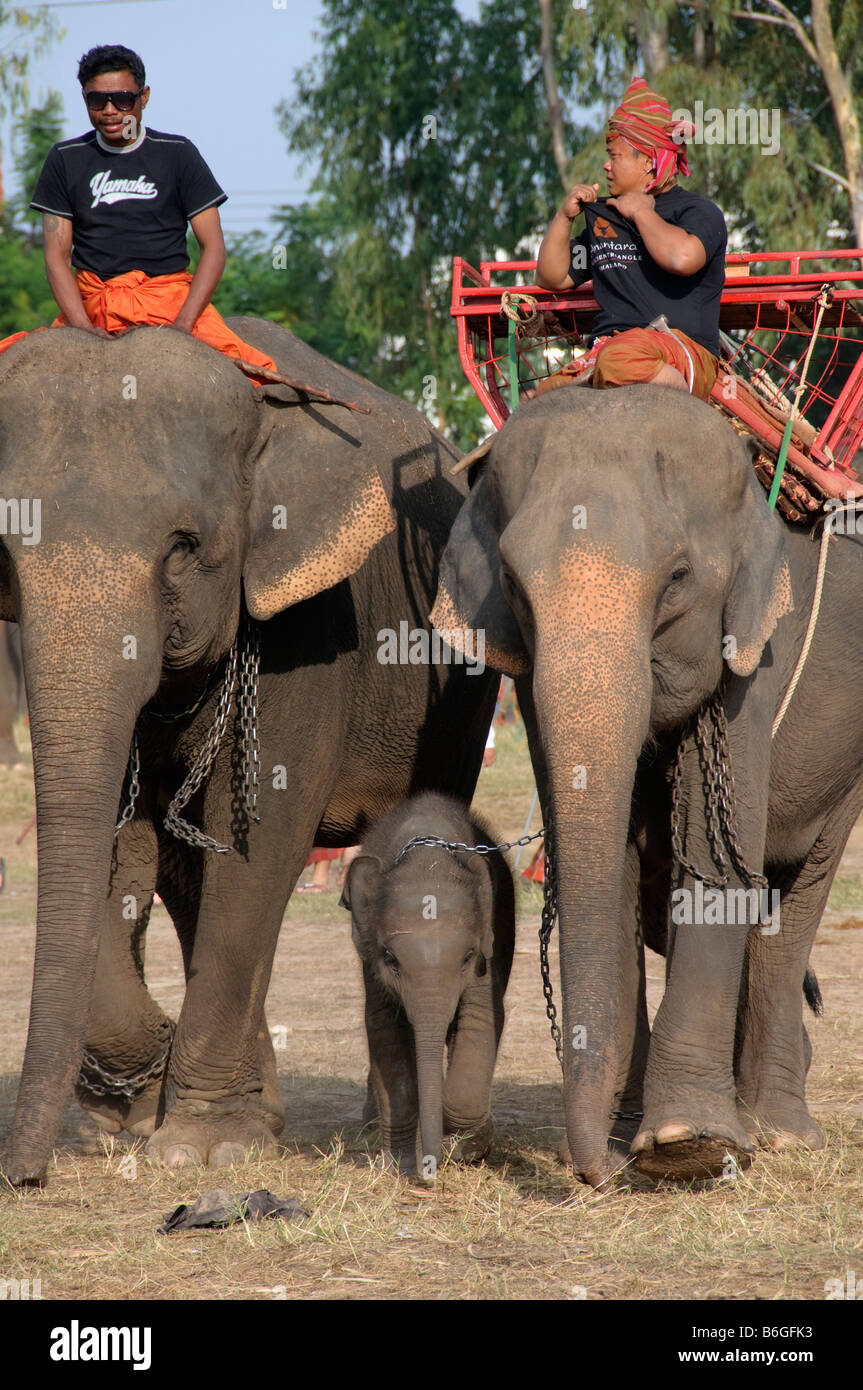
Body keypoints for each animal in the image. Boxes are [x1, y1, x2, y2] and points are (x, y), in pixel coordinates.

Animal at [0, 319, 497, 1185]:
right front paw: (159, 1109)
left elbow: (258, 835)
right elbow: (137, 847)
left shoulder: (312, 625)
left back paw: (377, 1127)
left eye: (182, 546)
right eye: (3, 549)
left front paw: (206, 1145)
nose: (21, 1175)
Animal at [341, 792, 515, 1175]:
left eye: (466, 958)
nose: (429, 1171)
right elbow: (384, 1030)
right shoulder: (370, 959)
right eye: (391, 958)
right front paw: (400, 1162)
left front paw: (465, 1146)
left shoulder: (486, 949)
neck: (426, 856)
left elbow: (482, 1018)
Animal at [432, 383, 863, 1186]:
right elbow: (612, 865)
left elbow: (717, 852)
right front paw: (638, 1136)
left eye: (676, 579)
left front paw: (683, 1145)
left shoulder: (757, 646)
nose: (596, 1171)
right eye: (511, 584)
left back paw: (779, 1133)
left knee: (797, 895)